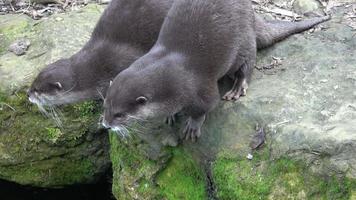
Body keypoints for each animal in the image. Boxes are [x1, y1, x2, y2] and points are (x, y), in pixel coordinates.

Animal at [101, 0, 330, 141]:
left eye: (120, 114)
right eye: (105, 106)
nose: (105, 125)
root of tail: (253, 16)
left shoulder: (200, 88)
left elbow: (207, 106)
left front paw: (193, 125)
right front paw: (170, 116)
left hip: (244, 43)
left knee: (248, 64)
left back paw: (237, 88)